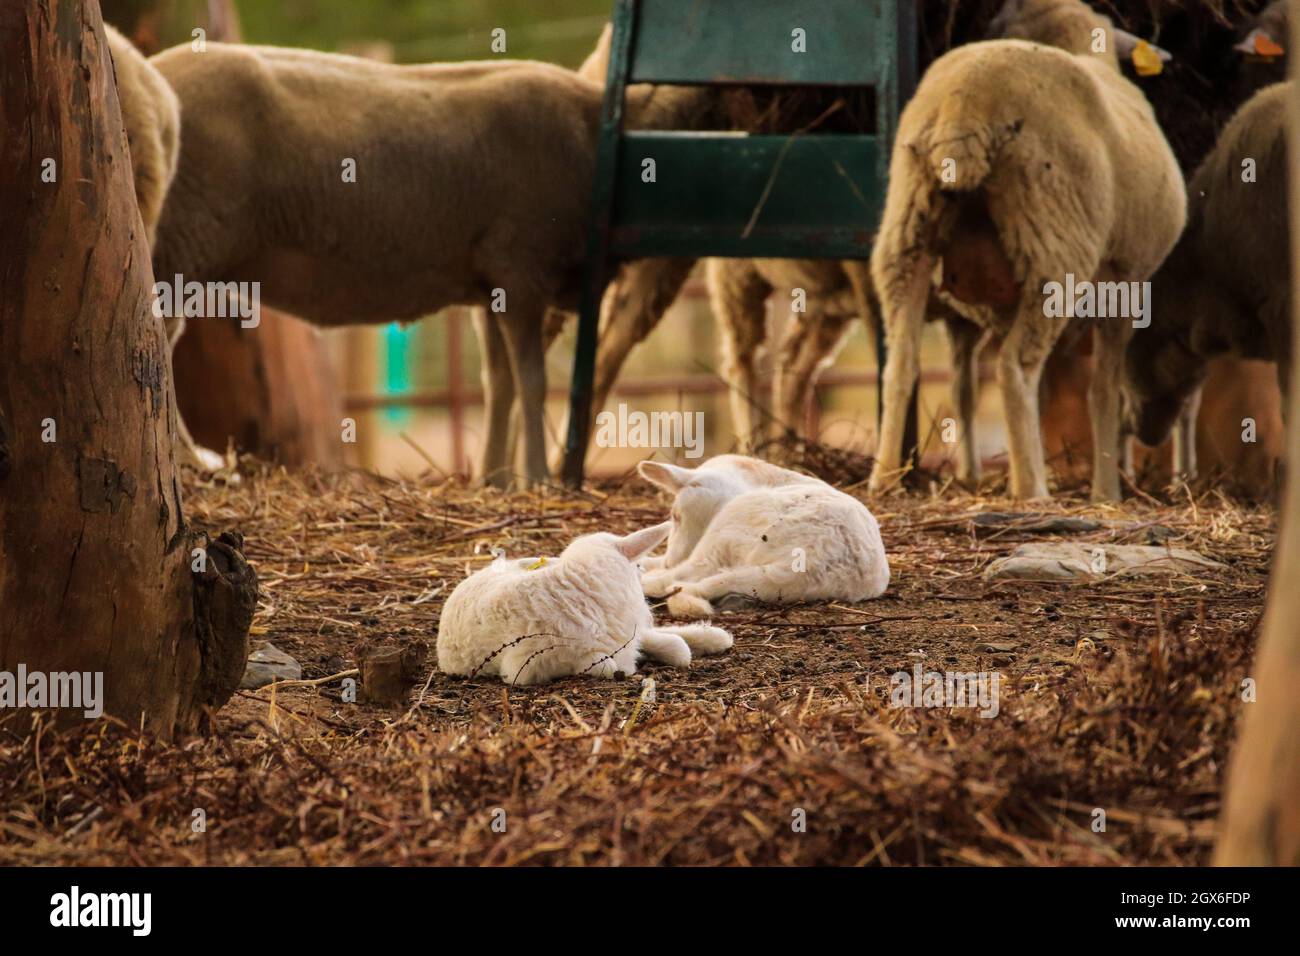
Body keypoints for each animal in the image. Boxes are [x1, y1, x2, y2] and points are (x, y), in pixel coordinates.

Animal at [148, 41, 713, 488]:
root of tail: (151, 69)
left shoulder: (492, 283)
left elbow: (499, 383)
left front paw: (494, 478)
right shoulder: (522, 267)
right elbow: (532, 382)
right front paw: (537, 479)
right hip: (181, 238)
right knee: (158, 339)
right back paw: (187, 459)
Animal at [436, 522, 733, 685]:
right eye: (637, 566)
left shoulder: (627, 633)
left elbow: (675, 647)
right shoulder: (522, 669)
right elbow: (610, 665)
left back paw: (717, 637)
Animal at [868, 0, 1186, 502]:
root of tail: (966, 101)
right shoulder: (1126, 280)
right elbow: (1104, 389)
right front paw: (1107, 490)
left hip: (907, 225)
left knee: (902, 362)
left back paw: (884, 480)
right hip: (1053, 246)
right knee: (1014, 369)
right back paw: (1031, 488)